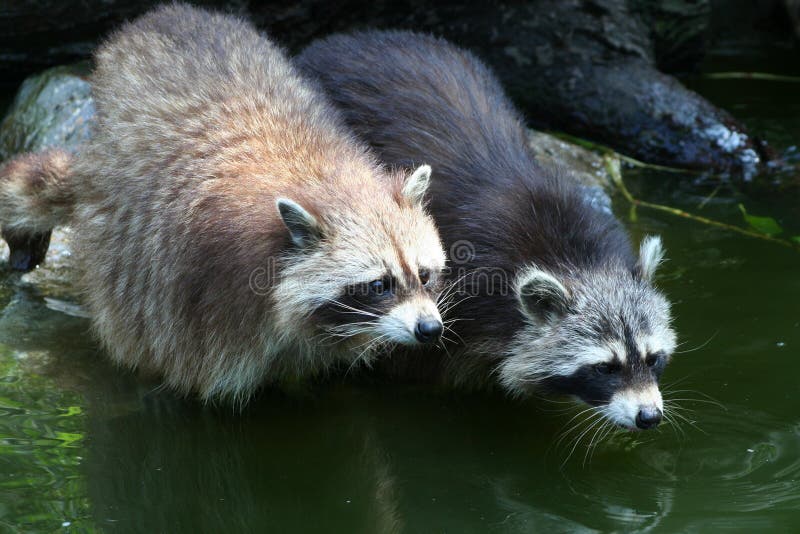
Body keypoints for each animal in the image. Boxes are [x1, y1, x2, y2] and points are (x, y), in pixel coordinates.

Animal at [298, 31, 677, 430]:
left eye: (653, 358)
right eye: (605, 367)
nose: (648, 416)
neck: (576, 259)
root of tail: (347, 38)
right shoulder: (454, 300)